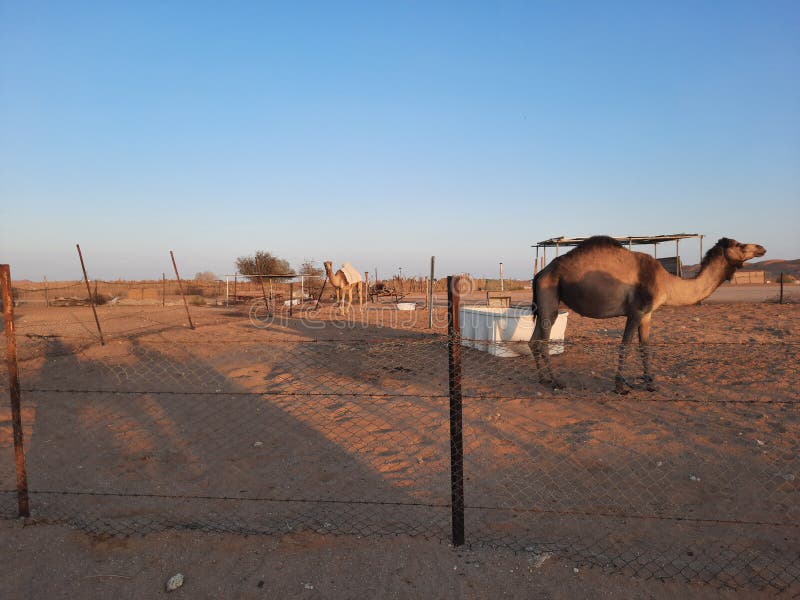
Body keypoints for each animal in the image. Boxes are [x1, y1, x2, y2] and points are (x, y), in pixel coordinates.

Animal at [529, 236, 766, 393]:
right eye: (739, 245)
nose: (761, 247)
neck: (667, 283)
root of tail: (540, 274)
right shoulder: (635, 312)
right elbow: (625, 346)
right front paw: (620, 386)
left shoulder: (647, 315)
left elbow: (645, 347)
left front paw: (650, 383)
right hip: (550, 294)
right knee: (544, 341)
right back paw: (556, 382)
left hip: (546, 302)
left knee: (534, 340)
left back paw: (542, 379)